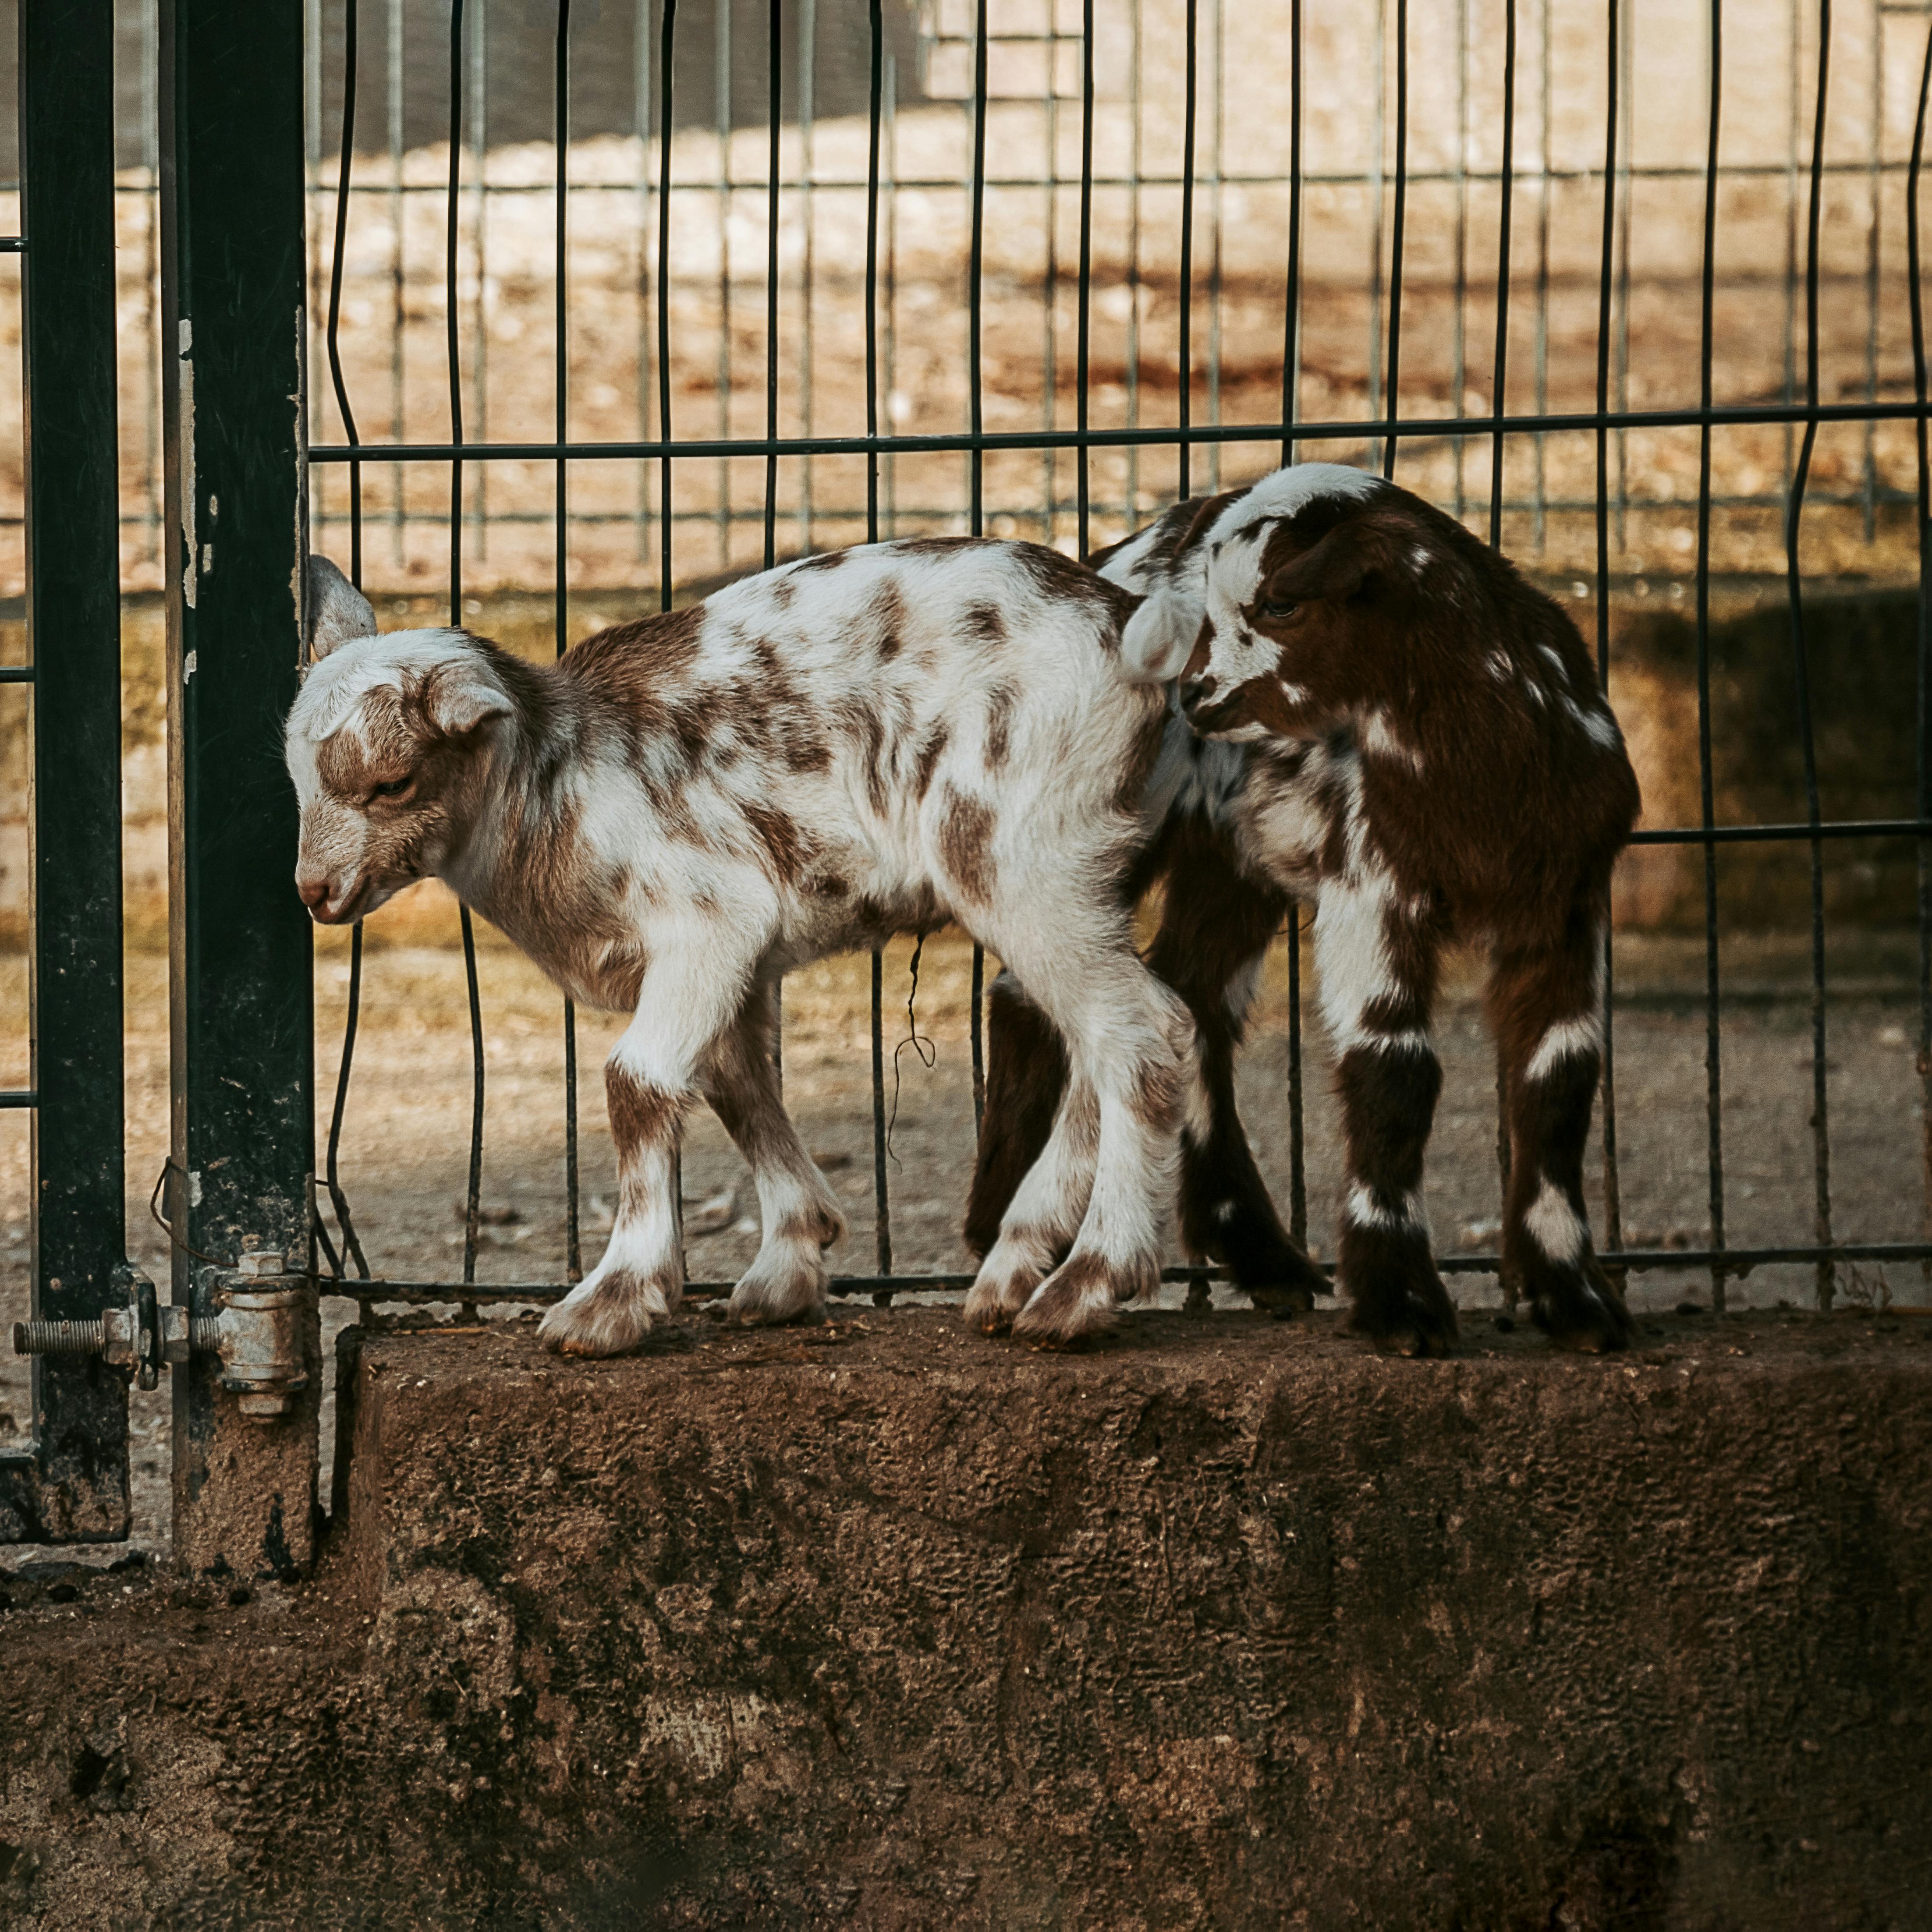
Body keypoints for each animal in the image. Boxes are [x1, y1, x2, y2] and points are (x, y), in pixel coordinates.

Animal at [285, 543, 1195, 1353]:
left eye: (392, 783)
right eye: (297, 776)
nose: (314, 892)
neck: (559, 784)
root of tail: (1126, 623)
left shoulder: (709, 917)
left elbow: (636, 1082)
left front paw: (612, 1301)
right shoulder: (734, 962)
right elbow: (738, 1084)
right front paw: (788, 1265)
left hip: (1013, 853)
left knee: (1143, 1036)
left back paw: (1086, 1284)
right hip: (1089, 867)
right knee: (1097, 1045)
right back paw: (1013, 1273)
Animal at [966, 464, 1642, 1355]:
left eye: (1280, 605)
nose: (1193, 694)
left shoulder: (1565, 899)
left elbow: (1559, 1079)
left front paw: (1575, 1299)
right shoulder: (1373, 884)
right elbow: (1393, 1071)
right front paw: (1401, 1305)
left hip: (1232, 860)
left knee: (1193, 1000)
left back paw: (1258, 1253)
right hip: (1101, 820)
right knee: (1033, 988)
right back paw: (996, 1226)